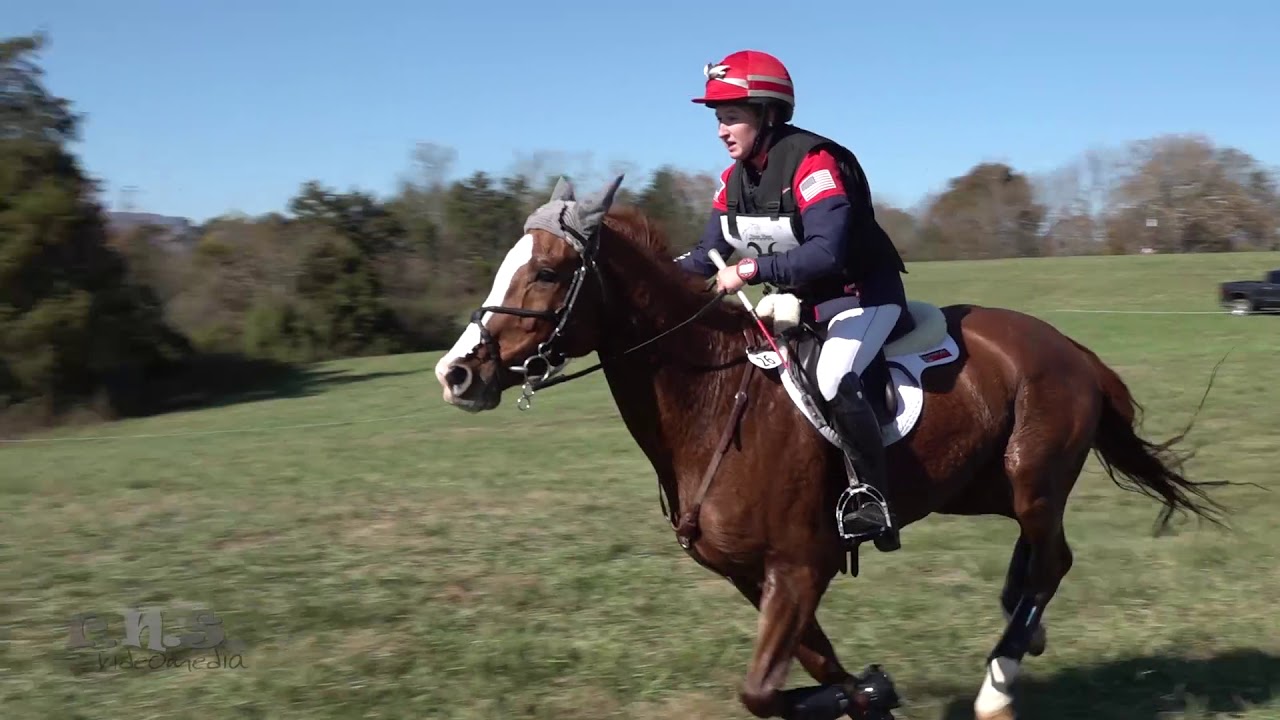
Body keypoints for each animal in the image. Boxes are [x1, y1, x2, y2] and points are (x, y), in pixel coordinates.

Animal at [432, 174, 1226, 720]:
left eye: (547, 272)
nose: (456, 373)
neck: (711, 399)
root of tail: (1072, 348)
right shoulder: (754, 578)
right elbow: (816, 667)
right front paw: (868, 693)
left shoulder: (798, 566)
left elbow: (762, 691)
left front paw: (877, 687)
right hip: (980, 488)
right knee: (1033, 562)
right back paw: (1023, 633)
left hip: (1032, 477)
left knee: (1052, 558)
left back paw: (1000, 682)